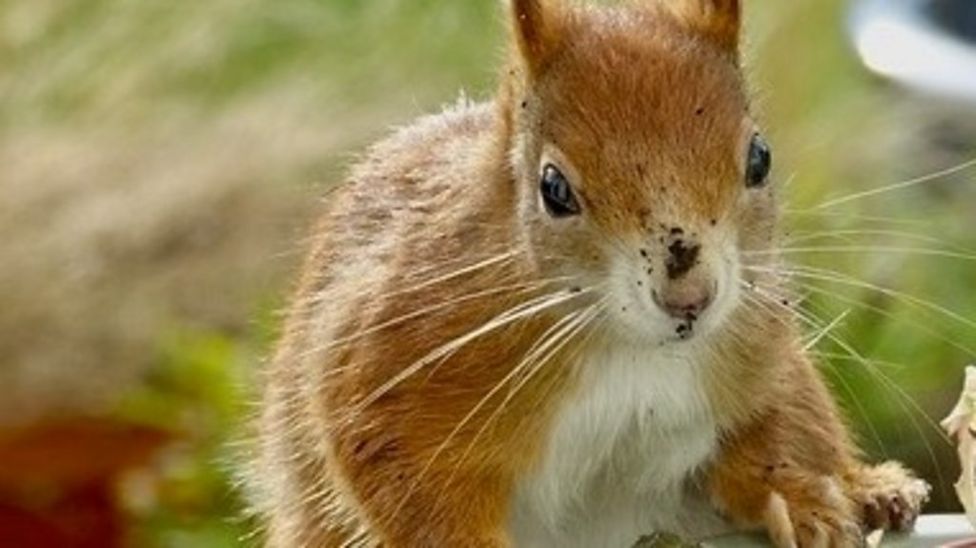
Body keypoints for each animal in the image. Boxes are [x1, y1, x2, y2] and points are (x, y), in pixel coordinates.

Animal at [249, 1, 932, 546]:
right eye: (553, 188)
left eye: (760, 158)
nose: (690, 298)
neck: (630, 351)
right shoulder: (388, 365)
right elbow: (410, 483)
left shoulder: (751, 346)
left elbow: (766, 434)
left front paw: (804, 500)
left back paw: (874, 489)